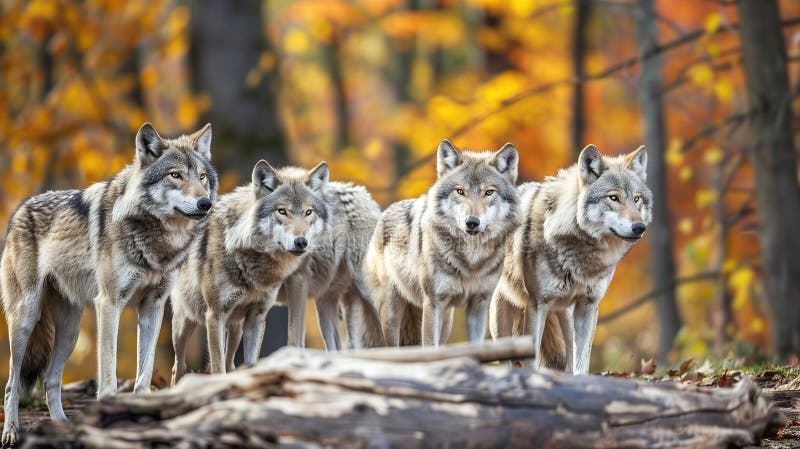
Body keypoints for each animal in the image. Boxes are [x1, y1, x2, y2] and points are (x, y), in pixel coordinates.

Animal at [0, 123, 217, 445]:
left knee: (51, 380)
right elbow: (109, 376)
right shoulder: (109, 304)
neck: (155, 241)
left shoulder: (154, 307)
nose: (206, 202)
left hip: (71, 332)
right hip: (26, 319)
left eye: (201, 176)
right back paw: (12, 432)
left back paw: (64, 428)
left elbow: (144, 374)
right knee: (12, 382)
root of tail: (20, 209)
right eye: (175, 175)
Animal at [169, 160, 332, 384]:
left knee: (230, 362)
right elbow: (218, 368)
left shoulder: (256, 318)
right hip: (184, 325)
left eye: (308, 212)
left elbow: (250, 363)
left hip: (236, 327)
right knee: (179, 366)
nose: (301, 242)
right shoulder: (215, 315)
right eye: (282, 211)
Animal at [365, 139, 520, 347]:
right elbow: (430, 347)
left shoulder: (478, 305)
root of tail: (385, 211)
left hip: (446, 319)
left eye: (489, 192)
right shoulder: (433, 303)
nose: (472, 222)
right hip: (391, 313)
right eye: (460, 191)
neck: (471, 259)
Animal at [489, 144, 651, 374]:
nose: (639, 227)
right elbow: (531, 359)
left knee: (569, 360)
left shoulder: (588, 306)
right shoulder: (537, 305)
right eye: (613, 198)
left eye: (636, 199)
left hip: (565, 313)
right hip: (499, 317)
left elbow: (581, 363)